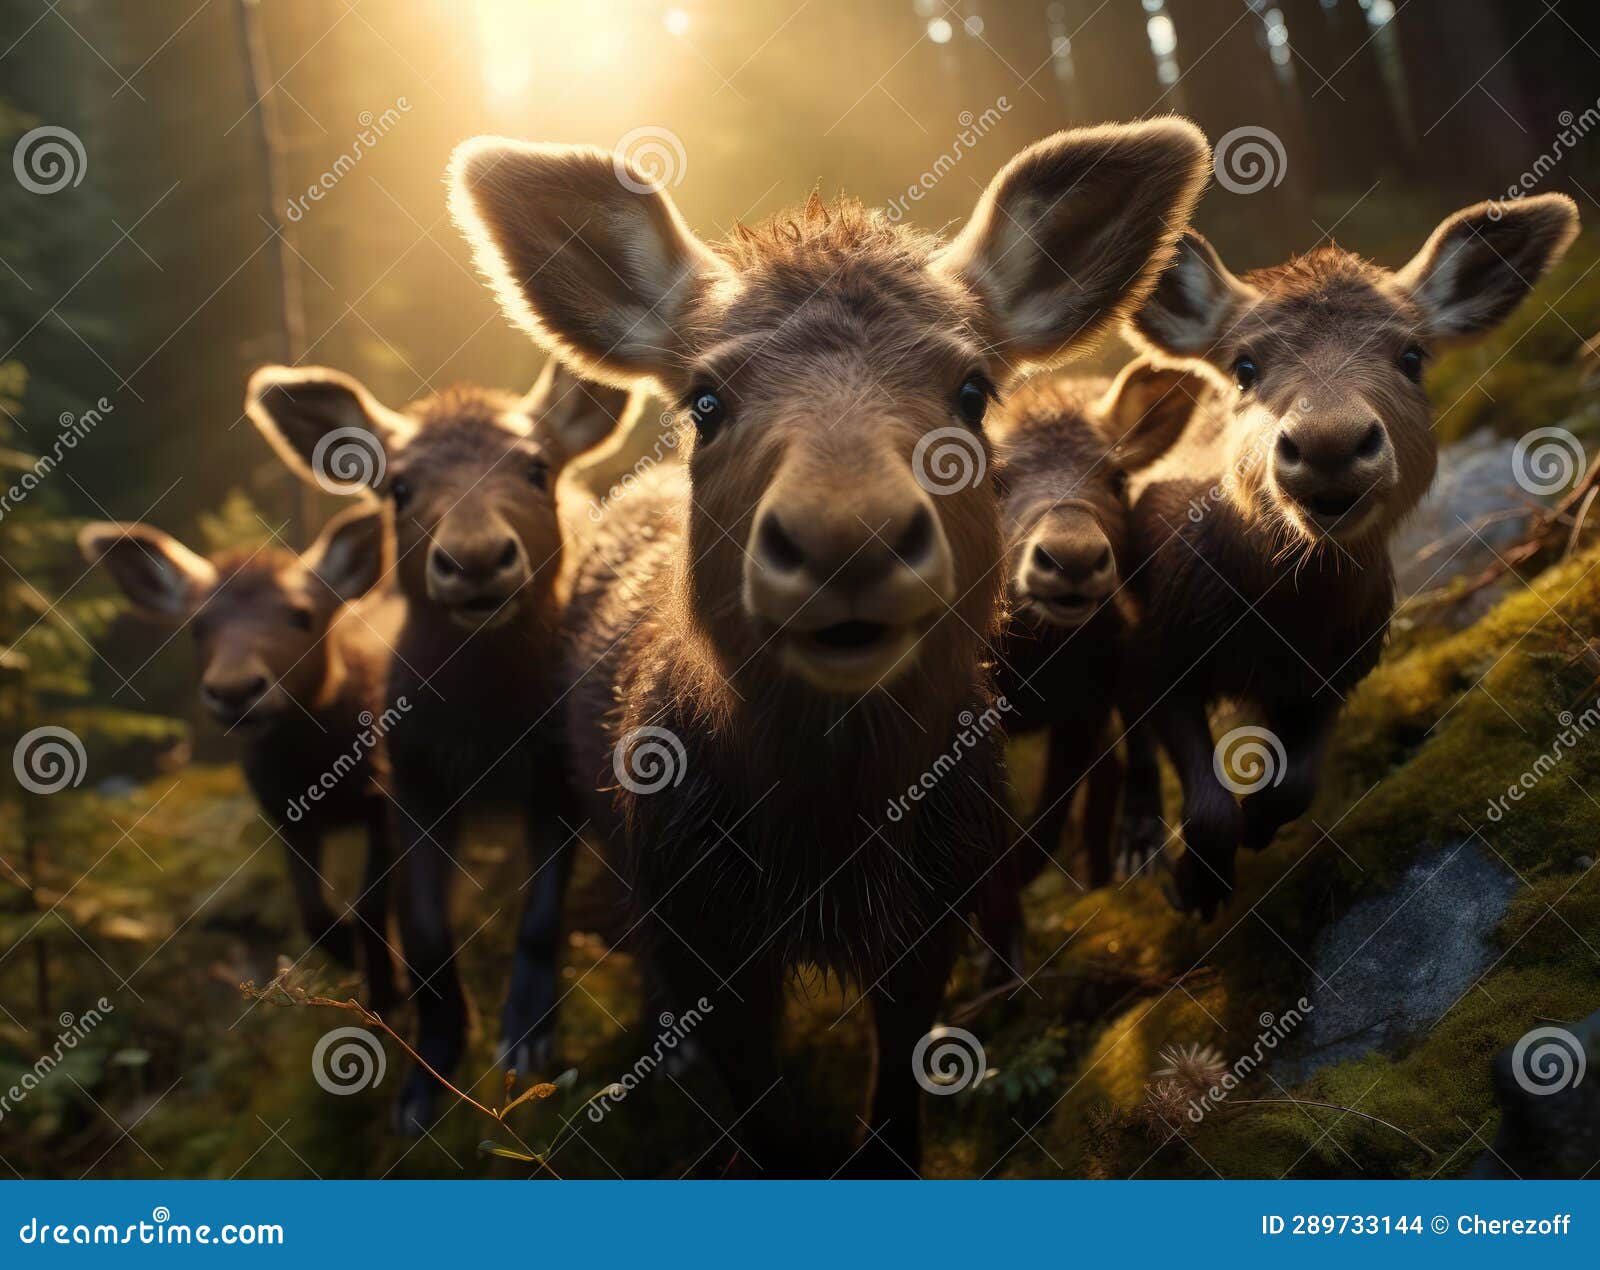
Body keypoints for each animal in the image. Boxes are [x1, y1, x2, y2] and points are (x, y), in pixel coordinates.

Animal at [78, 504, 400, 1004]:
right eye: (197, 626)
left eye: (302, 614)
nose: (234, 689)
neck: (318, 770)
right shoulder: (285, 813)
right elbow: (311, 910)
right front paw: (348, 959)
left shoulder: (387, 794)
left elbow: (372, 903)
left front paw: (390, 991)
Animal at [245, 360, 633, 1132]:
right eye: (399, 486)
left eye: (537, 466)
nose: (477, 558)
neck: (483, 723)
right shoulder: (413, 783)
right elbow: (423, 929)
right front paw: (430, 1073)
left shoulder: (556, 776)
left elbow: (541, 916)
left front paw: (527, 1033)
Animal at [975, 359, 1207, 972]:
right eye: (992, 481)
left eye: (1117, 478)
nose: (1072, 556)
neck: (1033, 663)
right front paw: (997, 948)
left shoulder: (1097, 694)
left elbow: (1057, 812)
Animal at [1116, 194, 1579, 919]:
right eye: (1243, 366)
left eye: (1413, 355)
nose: (1329, 441)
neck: (1278, 620)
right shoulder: (1157, 647)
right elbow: (1205, 801)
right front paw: (1195, 885)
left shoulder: (1342, 669)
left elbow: (1296, 783)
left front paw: (1259, 824)